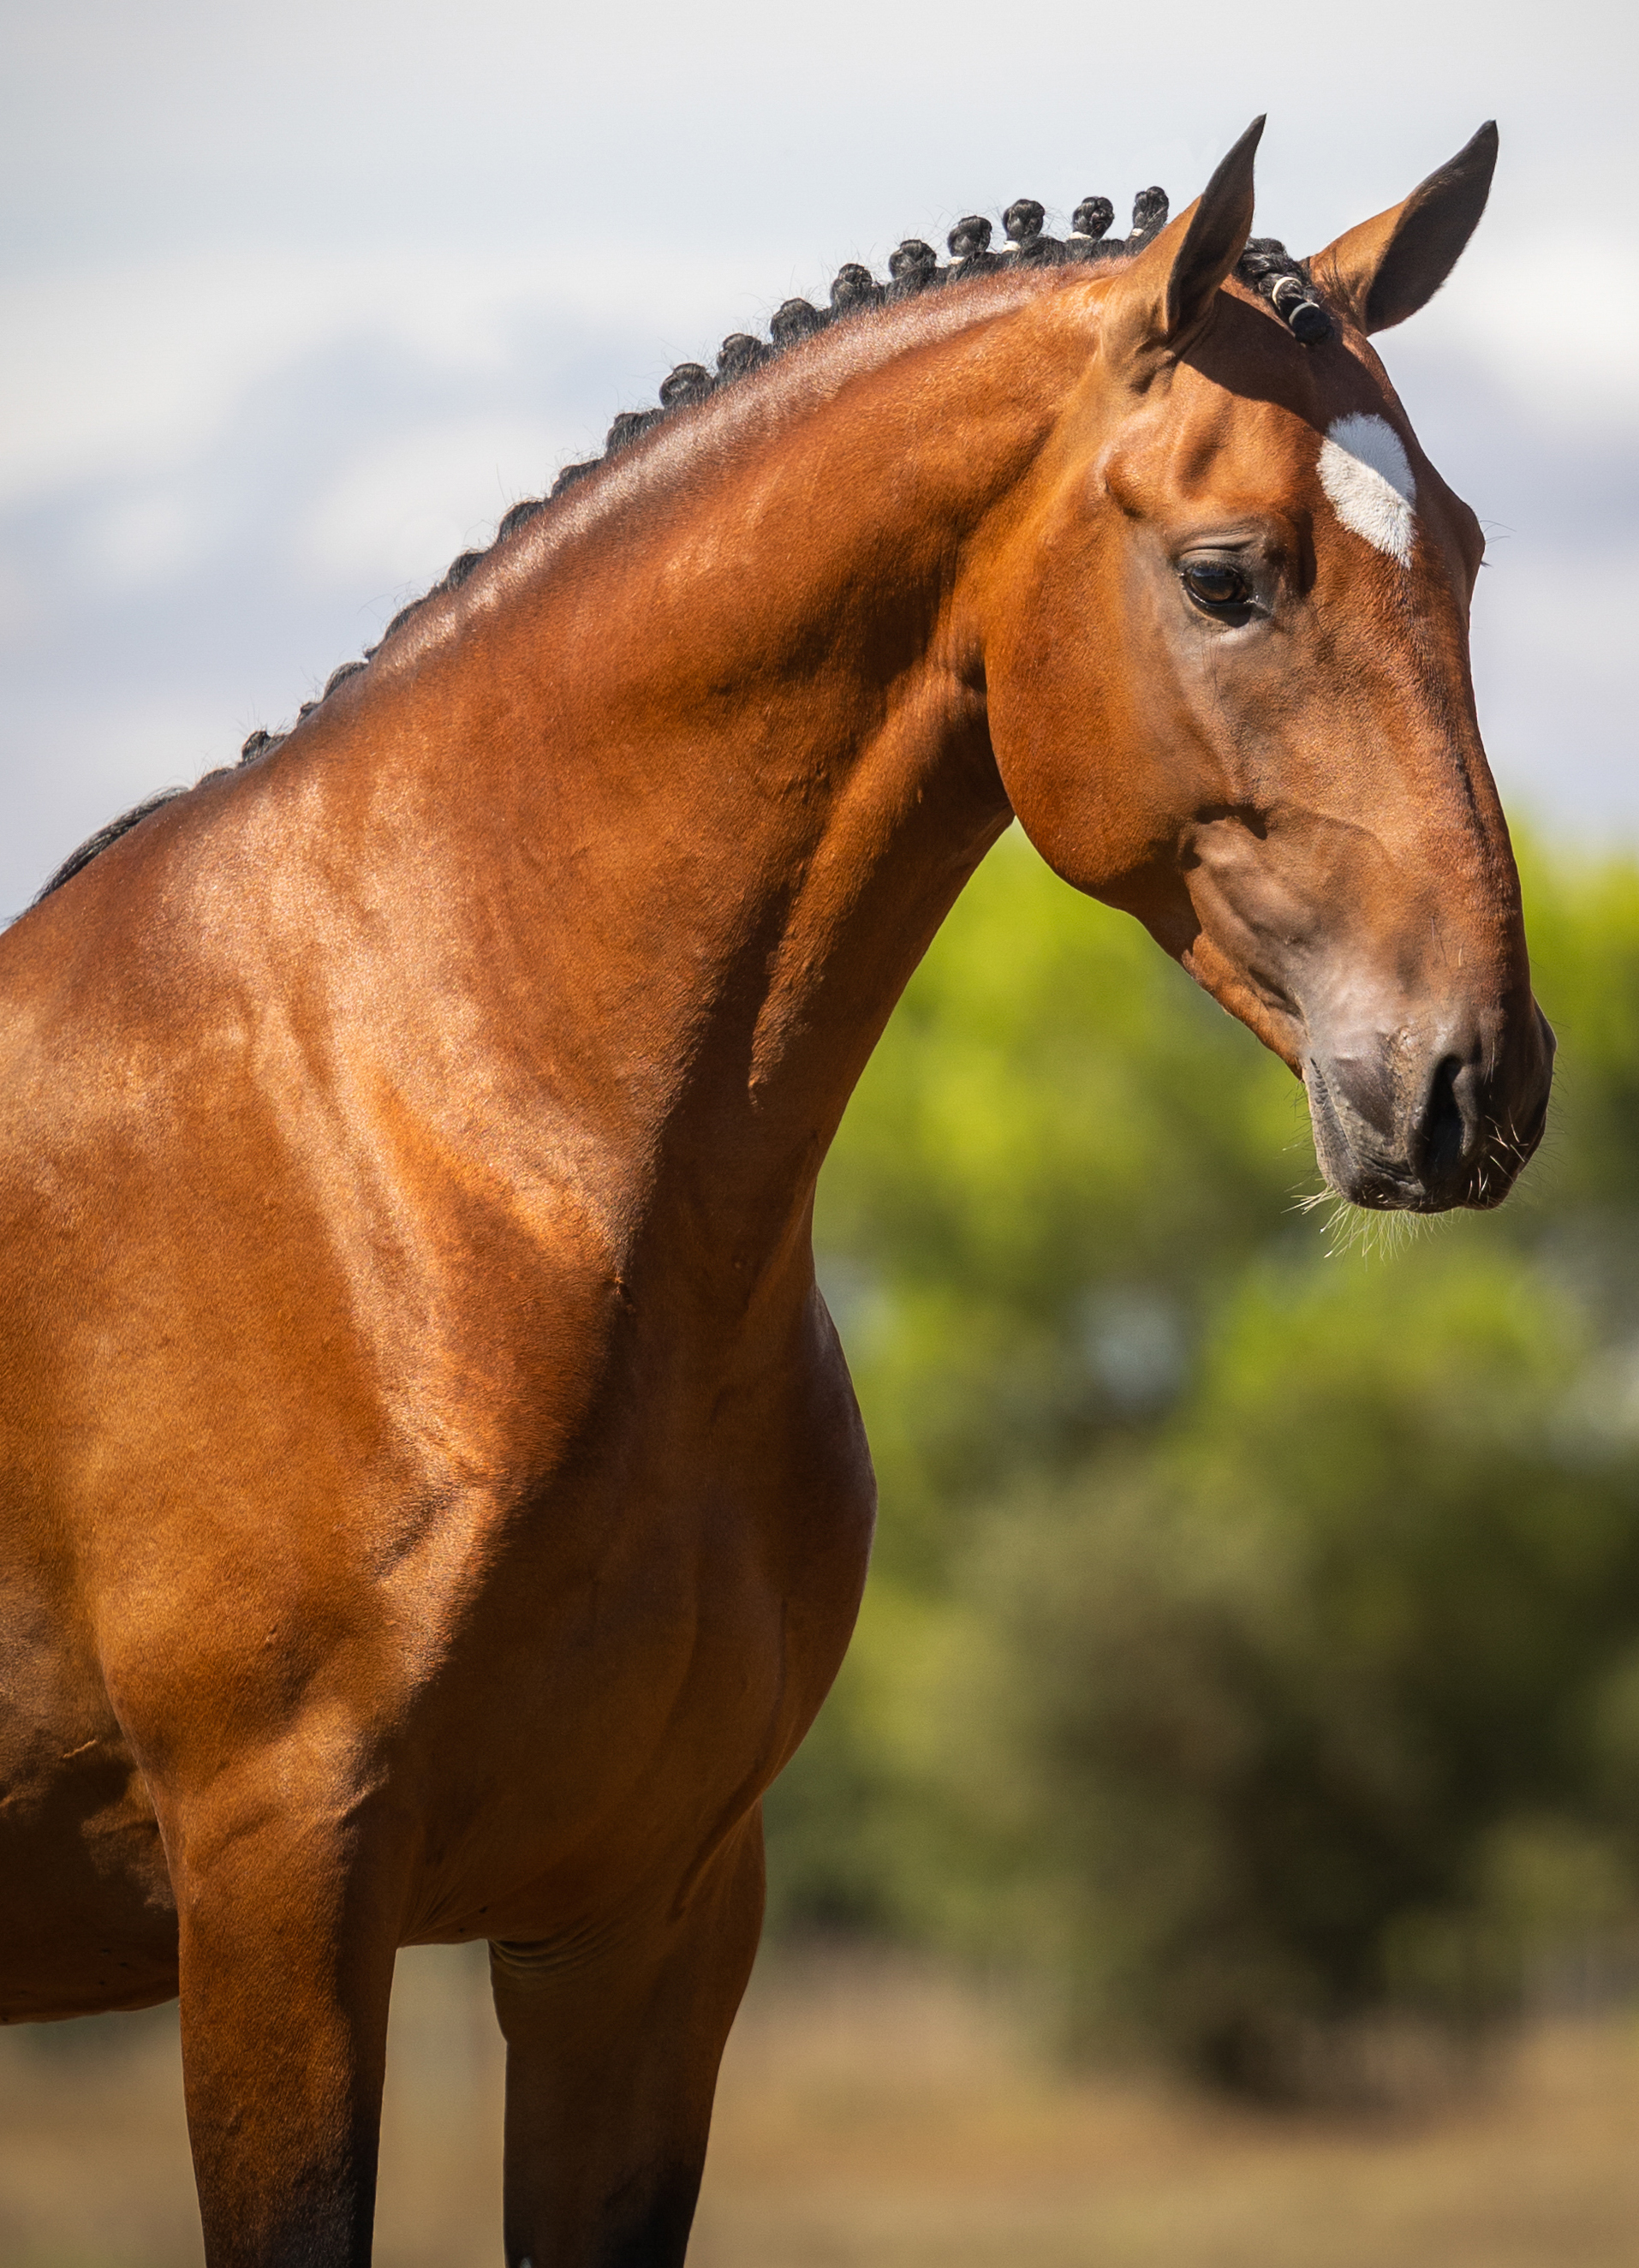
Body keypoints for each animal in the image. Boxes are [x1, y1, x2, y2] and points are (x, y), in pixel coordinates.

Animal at [0, 117, 1553, 2265]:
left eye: (1467, 550)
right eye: (1228, 576)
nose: (1480, 1081)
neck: (442, 1159)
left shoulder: (650, 1928)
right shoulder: (280, 1911)